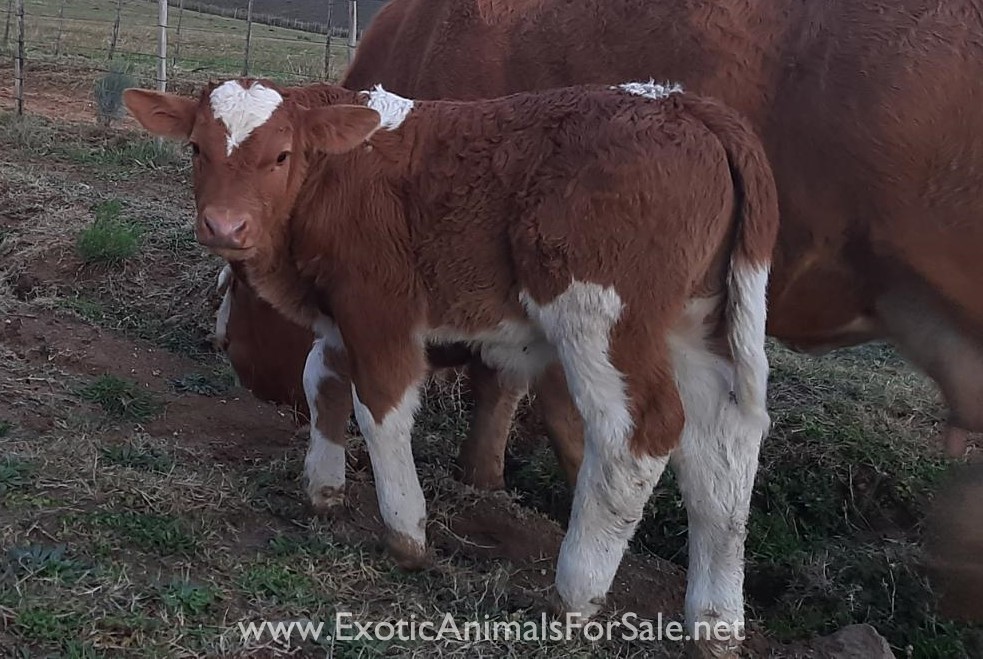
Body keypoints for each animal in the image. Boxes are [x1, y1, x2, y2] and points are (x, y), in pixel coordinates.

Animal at [124, 78, 780, 656]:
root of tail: (682, 104)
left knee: (638, 434)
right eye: (196, 148)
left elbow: (381, 404)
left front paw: (406, 533)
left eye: (281, 155)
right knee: (723, 449)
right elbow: (322, 382)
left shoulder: (379, 306)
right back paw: (715, 623)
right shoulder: (338, 316)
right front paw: (323, 488)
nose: (224, 226)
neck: (337, 172)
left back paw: (574, 596)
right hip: (697, 325)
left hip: (601, 316)